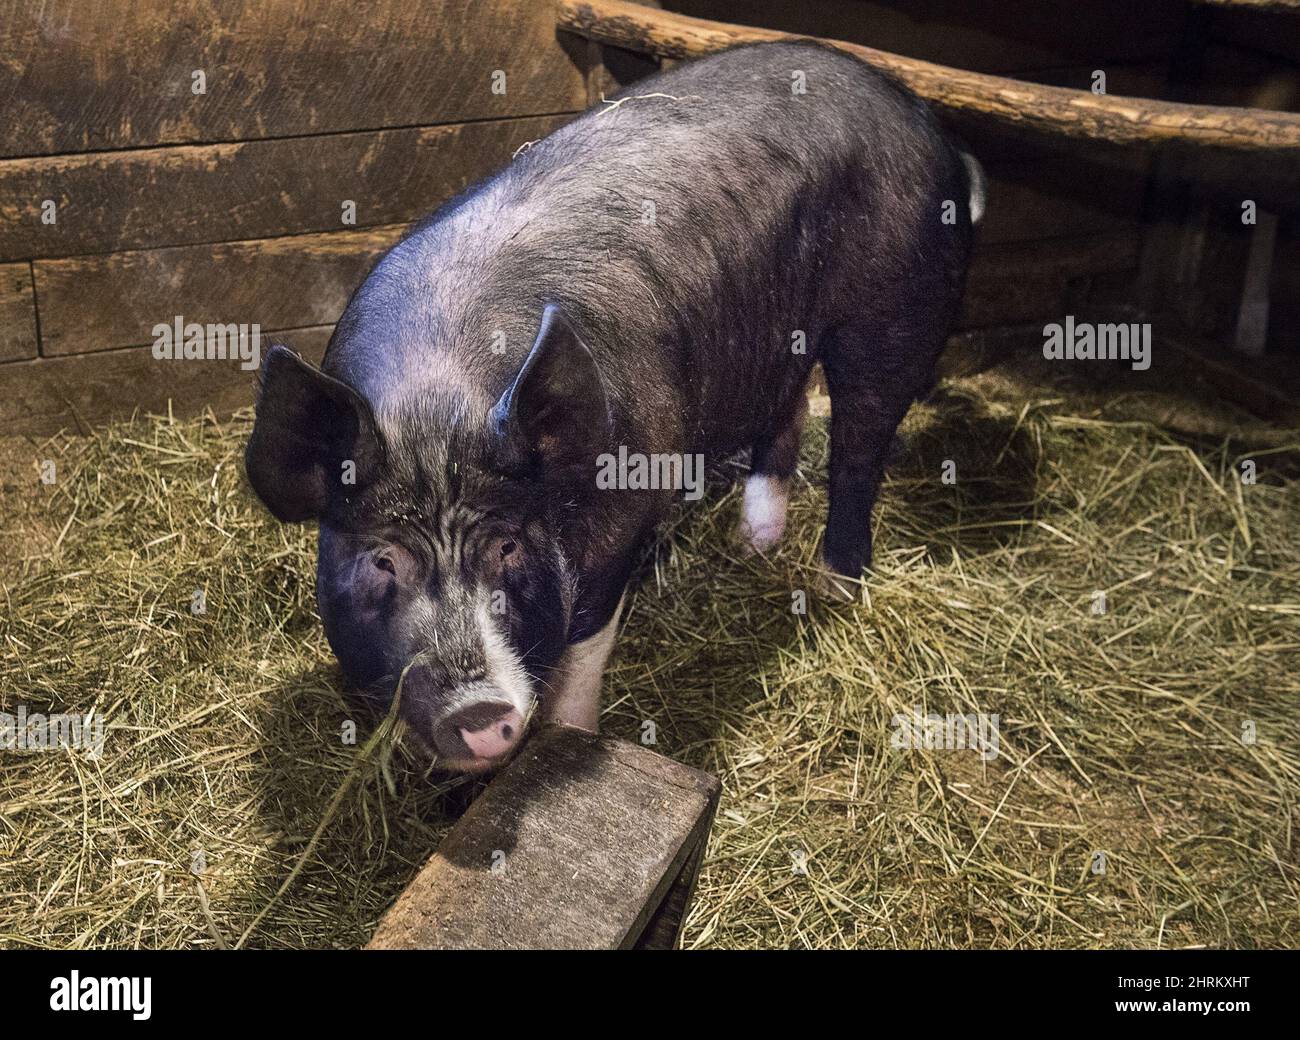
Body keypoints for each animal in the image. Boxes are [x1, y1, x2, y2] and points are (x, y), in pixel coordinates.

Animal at [245, 40, 984, 771]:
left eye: (508, 545)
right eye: (382, 561)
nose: (480, 714)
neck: (436, 399)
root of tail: (915, 113)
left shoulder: (624, 507)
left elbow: (583, 648)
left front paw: (569, 740)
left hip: (895, 312)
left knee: (861, 443)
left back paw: (835, 585)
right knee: (788, 409)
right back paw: (753, 545)